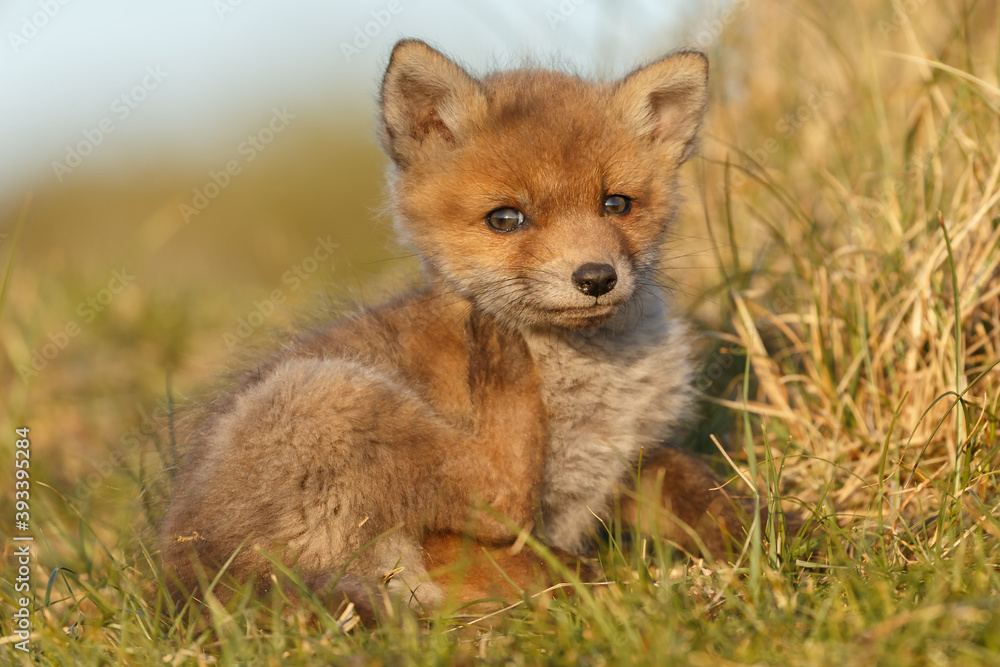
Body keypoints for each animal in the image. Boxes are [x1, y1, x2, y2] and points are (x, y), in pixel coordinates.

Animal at [160, 39, 742, 624]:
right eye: (506, 219)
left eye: (616, 204)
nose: (597, 278)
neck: (586, 394)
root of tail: (212, 592)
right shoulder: (449, 541)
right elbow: (548, 561)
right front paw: (624, 595)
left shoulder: (630, 461)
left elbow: (704, 488)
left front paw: (760, 534)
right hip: (328, 394)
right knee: (498, 497)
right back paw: (497, 344)